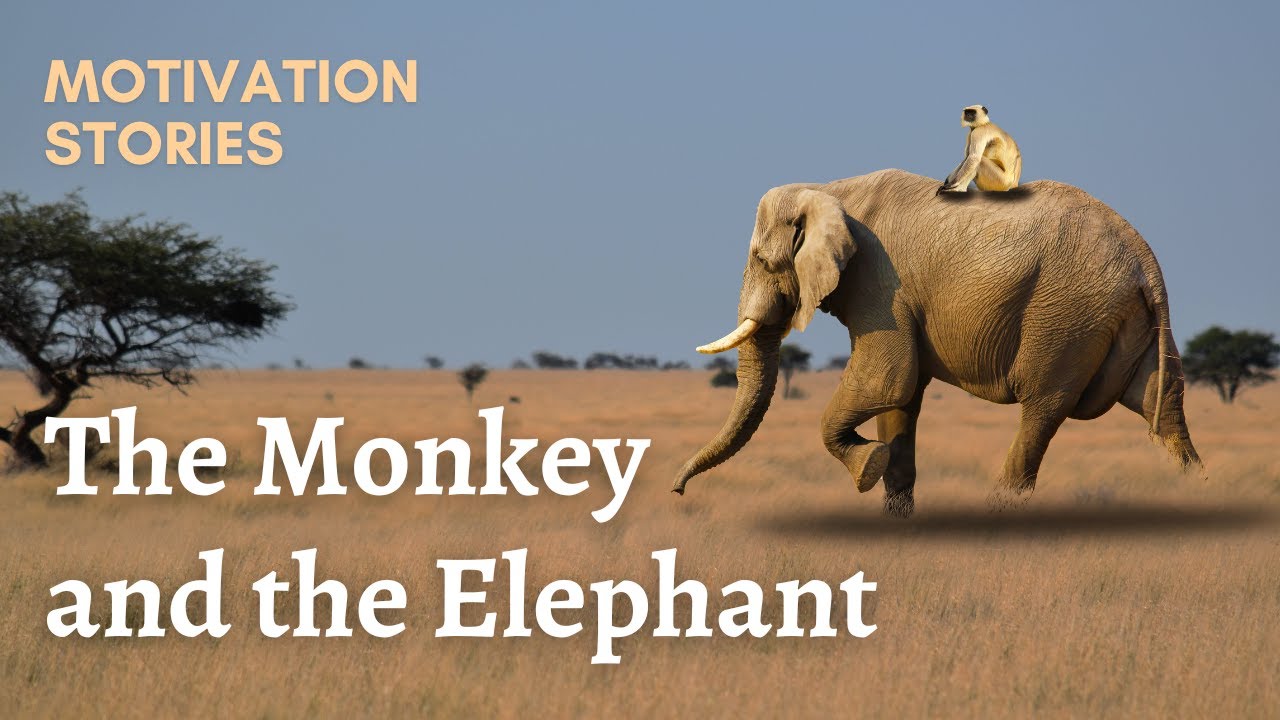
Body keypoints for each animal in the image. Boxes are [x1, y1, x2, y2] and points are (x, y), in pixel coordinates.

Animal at [674, 169, 1203, 516]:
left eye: (763, 261)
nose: (677, 490)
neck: (828, 189)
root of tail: (1146, 263)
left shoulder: (880, 284)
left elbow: (888, 377)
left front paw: (866, 465)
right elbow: (901, 399)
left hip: (1066, 317)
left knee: (1042, 409)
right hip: (1126, 322)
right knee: (1160, 406)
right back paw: (1195, 492)